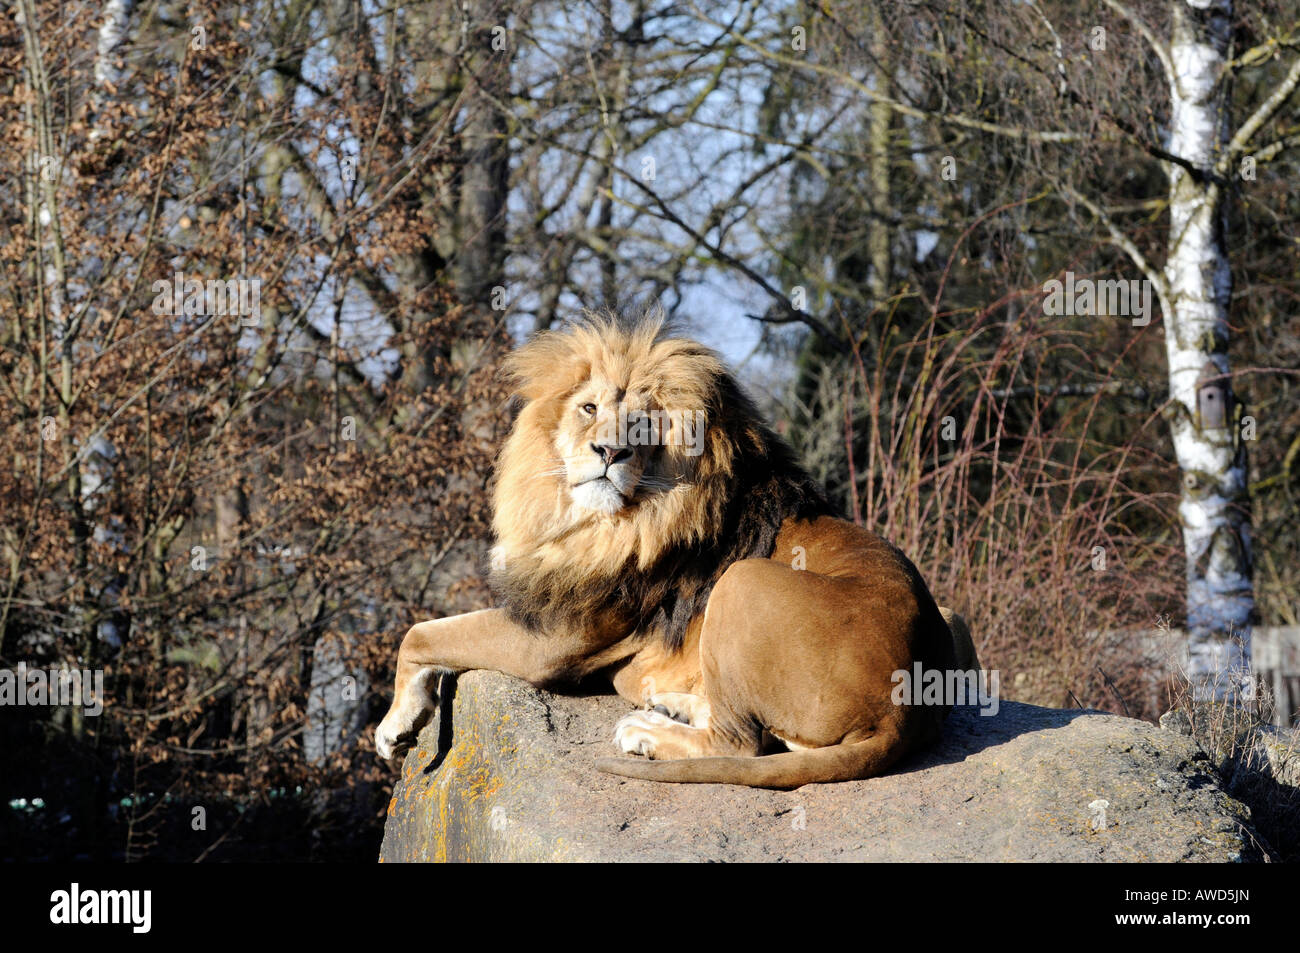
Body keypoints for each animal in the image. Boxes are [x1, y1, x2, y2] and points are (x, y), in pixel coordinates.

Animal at [375, 312, 979, 788]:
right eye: (589, 409)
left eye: (644, 424)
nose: (609, 451)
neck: (601, 523)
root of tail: (904, 710)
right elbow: (428, 631)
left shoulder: (549, 640)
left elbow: (421, 632)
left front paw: (395, 726)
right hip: (952, 615)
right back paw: (671, 702)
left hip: (744, 581)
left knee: (741, 745)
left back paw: (646, 729)